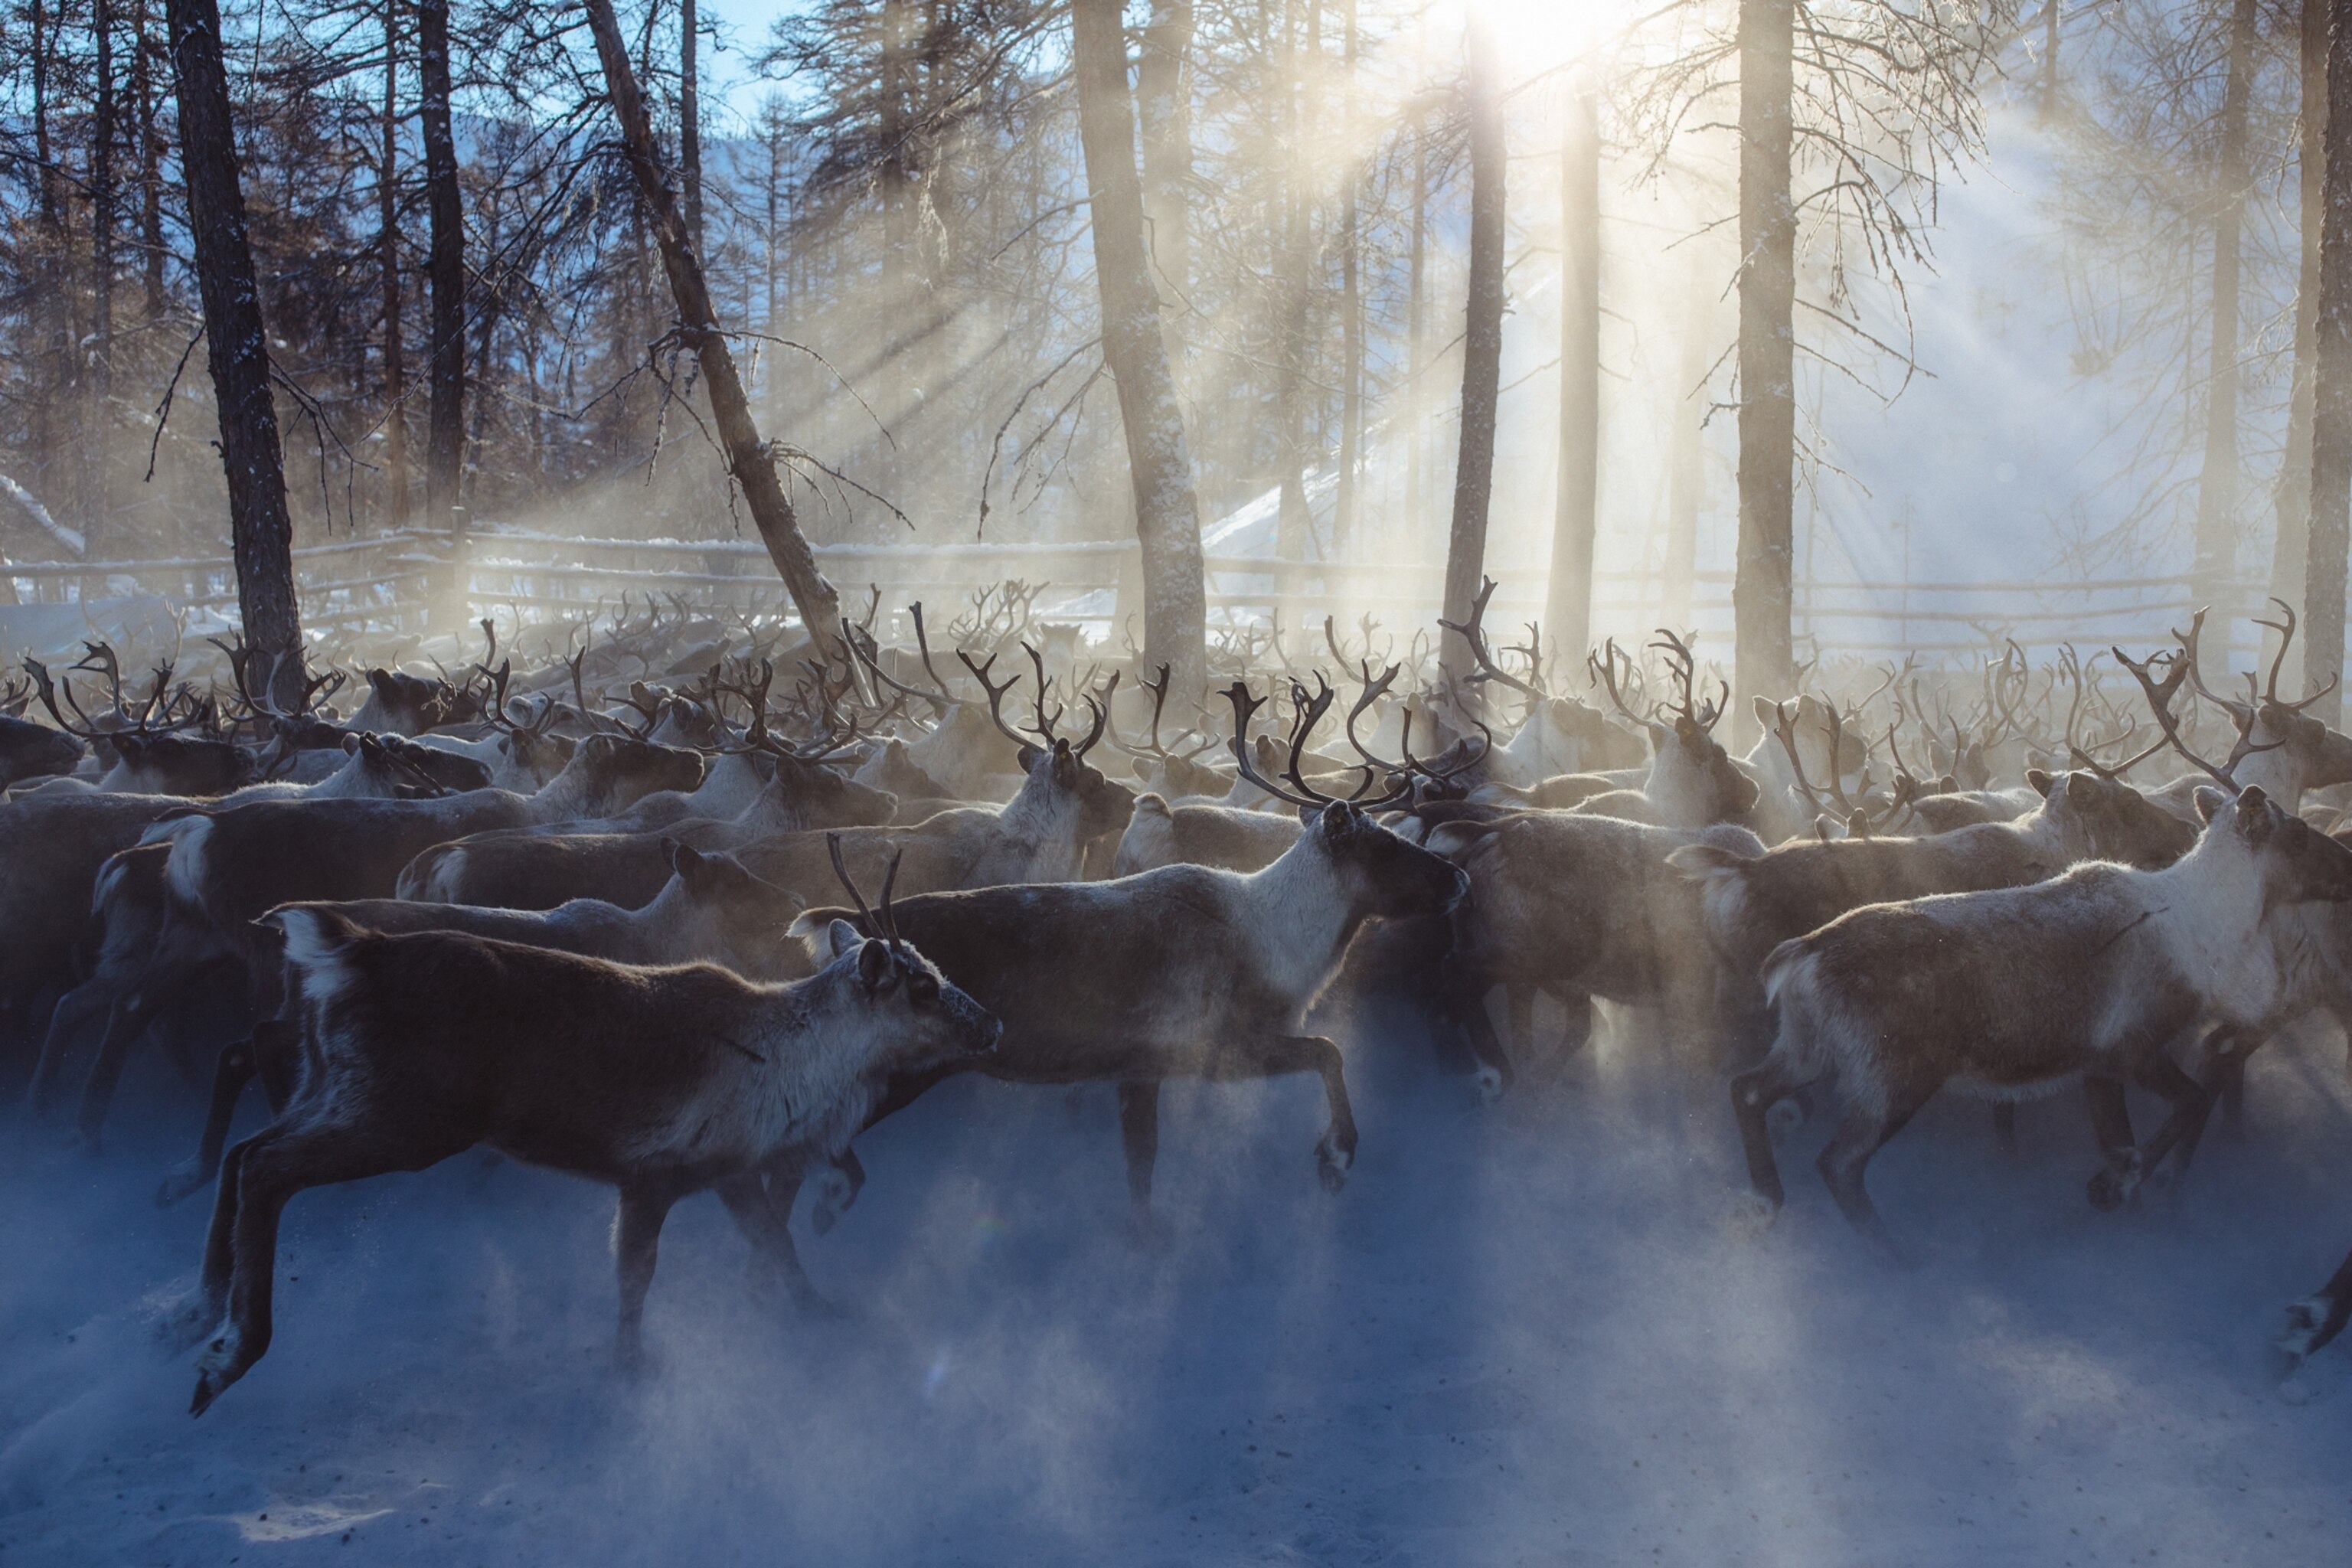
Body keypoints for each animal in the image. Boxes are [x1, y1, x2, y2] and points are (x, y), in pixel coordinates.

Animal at [166, 864, 999, 1414]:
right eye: (922, 985)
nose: (991, 1023)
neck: (791, 1061)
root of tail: (350, 948)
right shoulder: (651, 1173)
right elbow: (636, 1274)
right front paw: (629, 1368)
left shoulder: (726, 1170)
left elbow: (775, 1240)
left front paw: (817, 1308)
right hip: (401, 1117)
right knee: (267, 1167)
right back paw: (229, 1354)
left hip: (330, 1085)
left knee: (243, 1154)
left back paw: (198, 1307)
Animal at [1727, 648, 2352, 1259]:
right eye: (2297, 834)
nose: (2346, 863)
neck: (2205, 928)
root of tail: (1798, 956)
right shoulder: (2131, 1046)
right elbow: (2186, 1107)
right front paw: (2113, 1187)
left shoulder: (2106, 1064)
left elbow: (2141, 1130)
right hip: (1890, 1074)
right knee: (1839, 1162)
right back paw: (1894, 1257)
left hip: (1808, 1047)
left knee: (1748, 1088)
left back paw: (1766, 1202)